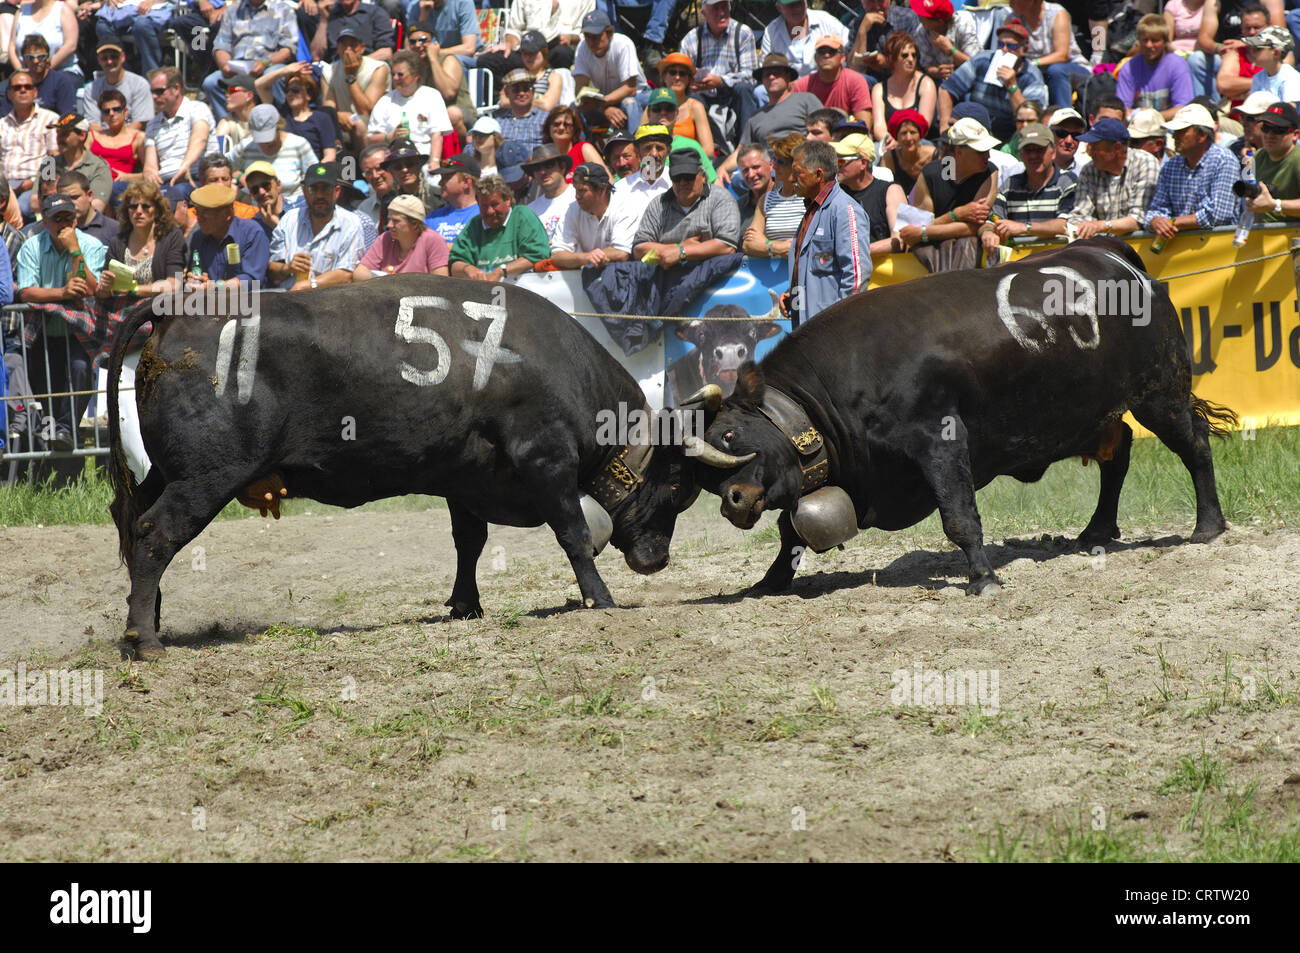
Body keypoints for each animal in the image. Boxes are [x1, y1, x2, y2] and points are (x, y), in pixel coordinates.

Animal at [107, 275, 697, 660]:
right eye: (673, 484)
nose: (658, 559)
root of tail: (175, 310)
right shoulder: (547, 462)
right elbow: (574, 534)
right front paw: (601, 599)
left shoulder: (465, 478)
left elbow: (470, 542)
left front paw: (465, 605)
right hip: (207, 478)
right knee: (155, 532)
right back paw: (147, 640)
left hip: (170, 474)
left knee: (131, 523)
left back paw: (147, 621)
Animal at [683, 238, 1236, 596]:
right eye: (707, 479)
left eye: (730, 435)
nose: (733, 500)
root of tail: (1112, 253)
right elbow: (789, 532)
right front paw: (770, 581)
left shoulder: (940, 440)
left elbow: (960, 517)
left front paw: (984, 579)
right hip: (1093, 413)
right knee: (1117, 453)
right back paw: (1097, 531)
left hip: (1160, 392)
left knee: (1194, 443)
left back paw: (1208, 527)